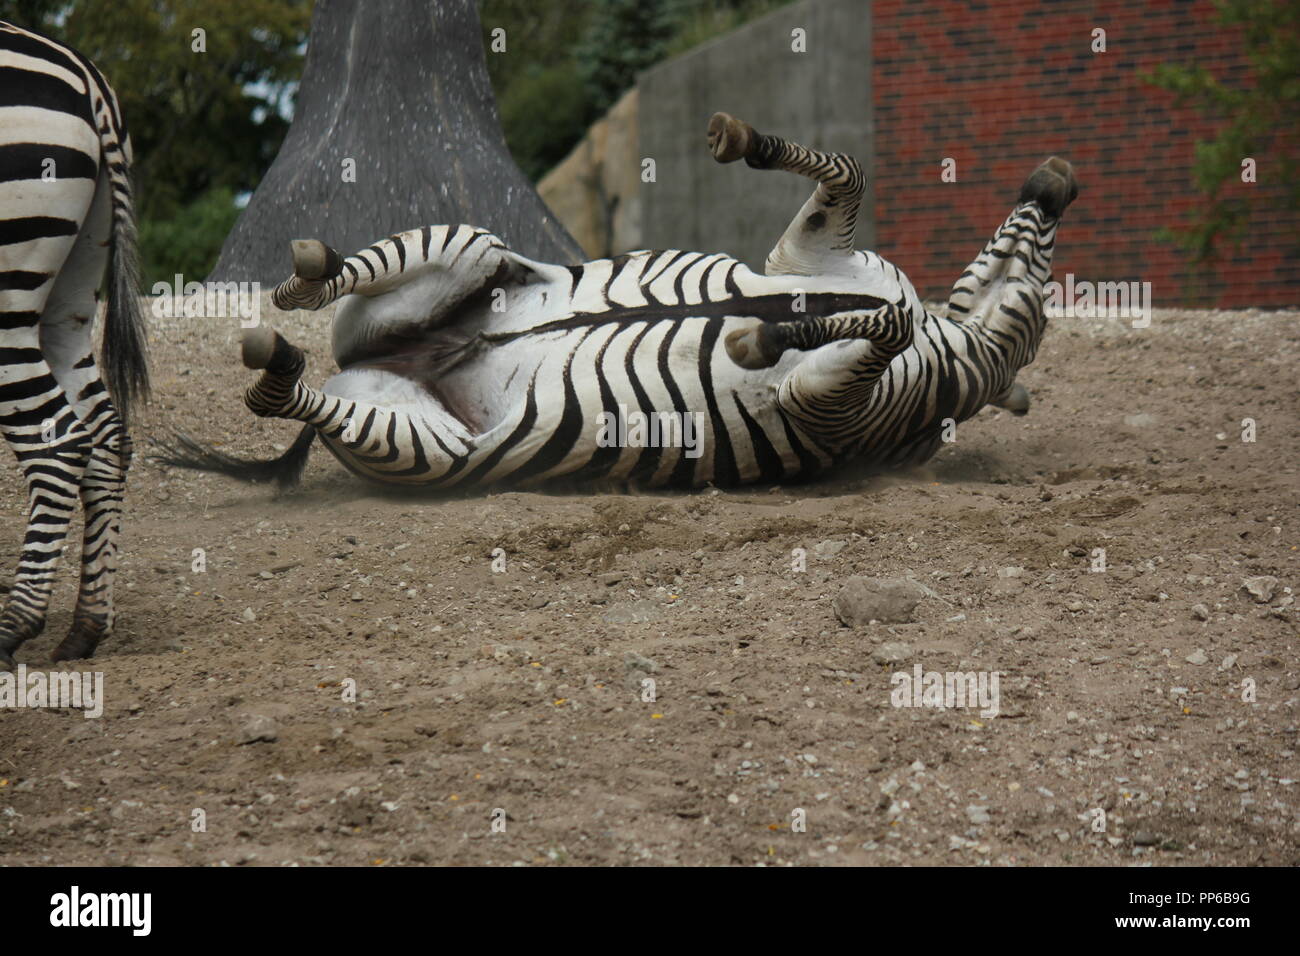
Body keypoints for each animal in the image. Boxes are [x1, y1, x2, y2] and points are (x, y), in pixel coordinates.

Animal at [158, 112, 1075, 499]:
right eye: (1035, 284)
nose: (1057, 178)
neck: (951, 355)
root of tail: (387, 360)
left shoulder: (825, 400)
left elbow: (878, 316)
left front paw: (757, 338)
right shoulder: (808, 260)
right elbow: (847, 174)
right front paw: (742, 142)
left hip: (427, 444)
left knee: (288, 397)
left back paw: (276, 358)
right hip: (472, 247)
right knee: (336, 290)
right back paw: (304, 280)